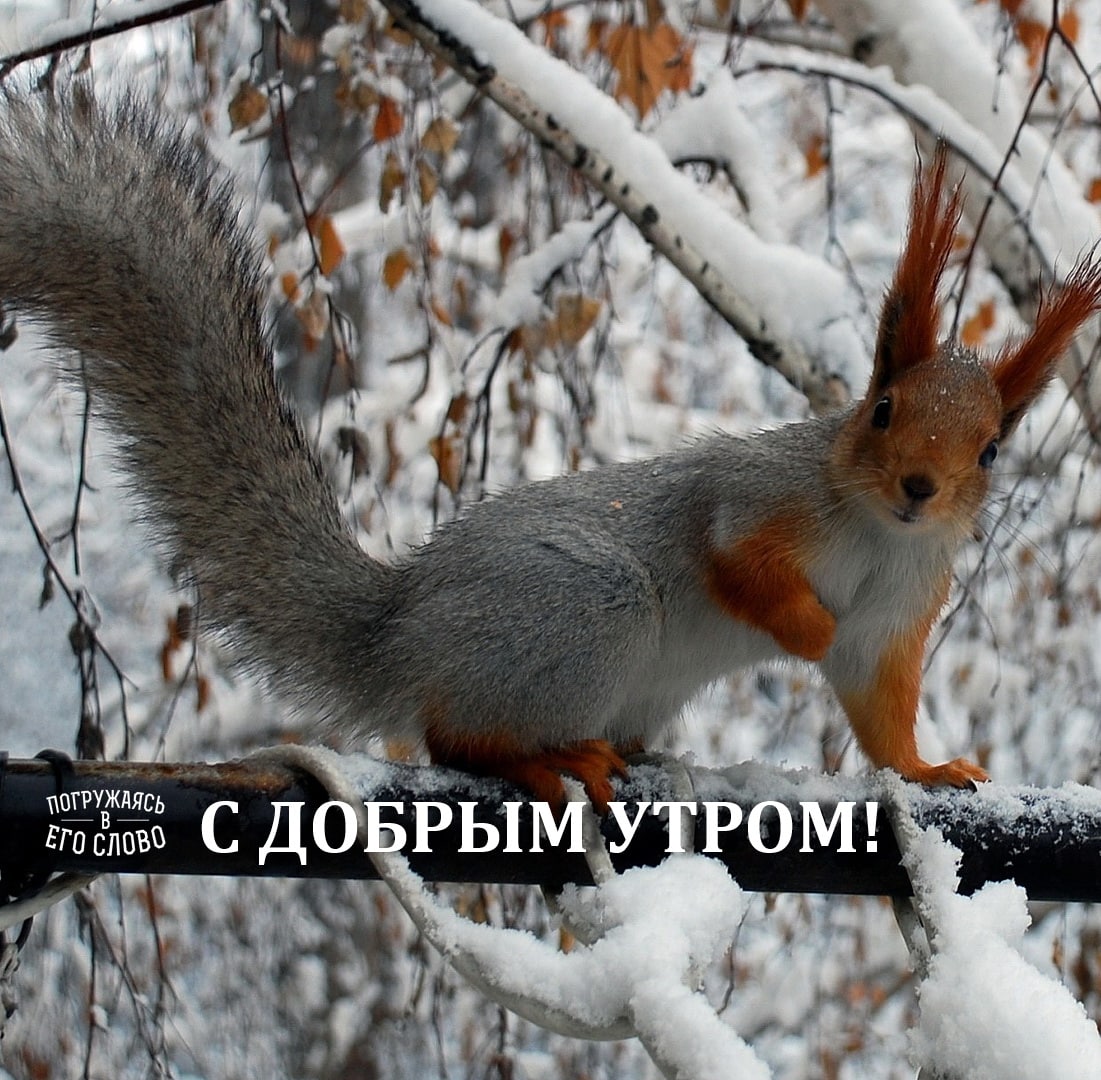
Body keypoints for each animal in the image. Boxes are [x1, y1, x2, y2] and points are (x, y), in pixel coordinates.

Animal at [0, 91, 1099, 810]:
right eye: (879, 408)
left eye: (990, 451)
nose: (919, 486)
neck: (877, 532)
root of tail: (399, 628)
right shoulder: (753, 495)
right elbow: (735, 561)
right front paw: (802, 626)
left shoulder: (900, 612)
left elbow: (877, 704)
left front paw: (927, 768)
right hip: (582, 611)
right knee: (455, 735)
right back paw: (543, 758)